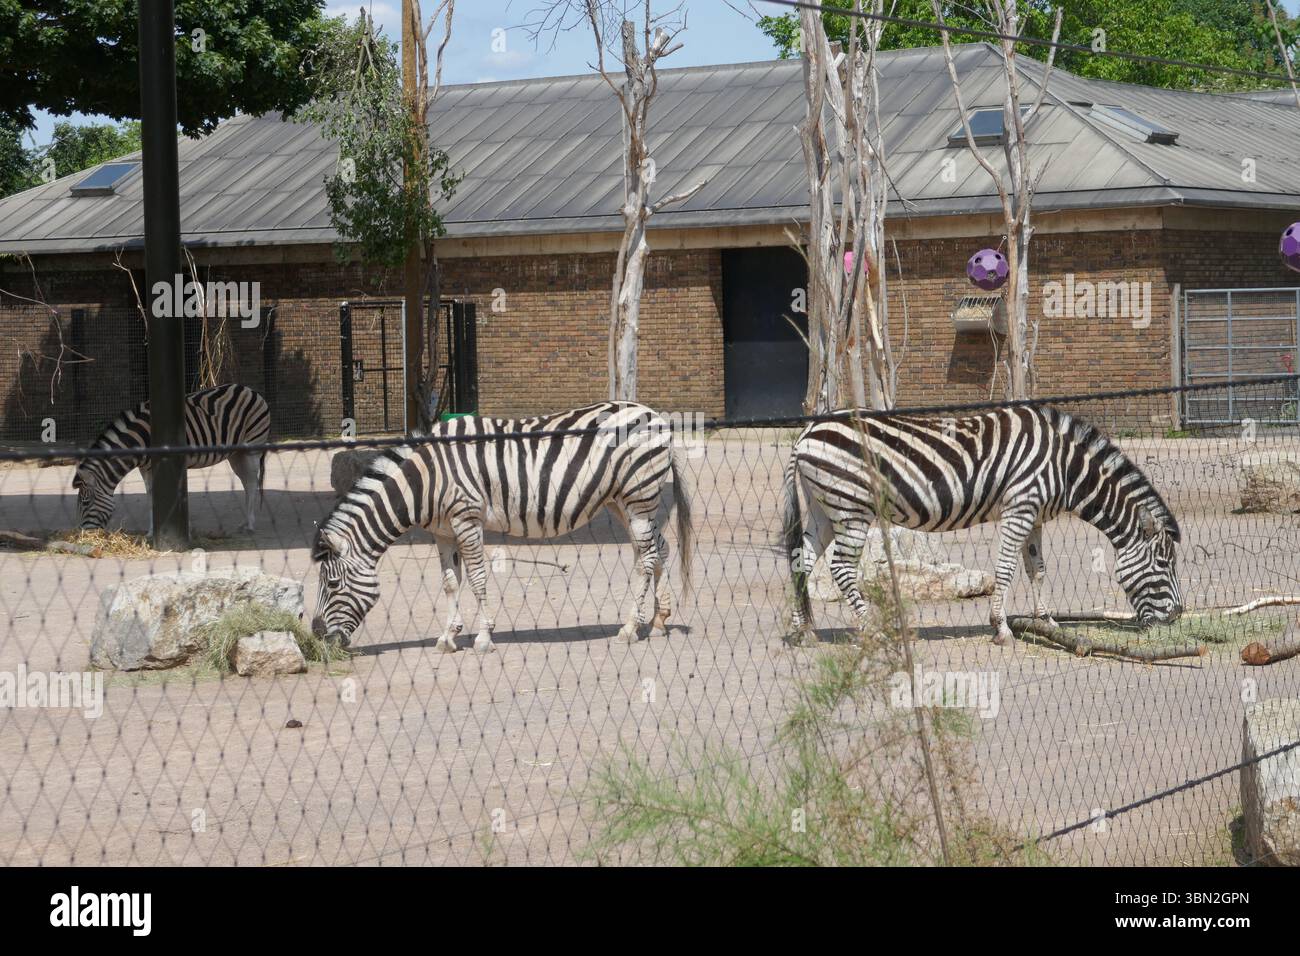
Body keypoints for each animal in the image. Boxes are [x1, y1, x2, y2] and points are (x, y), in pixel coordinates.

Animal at [72, 383, 271, 533]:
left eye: (86, 503)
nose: (84, 535)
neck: (140, 438)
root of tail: (250, 389)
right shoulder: (145, 468)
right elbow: (151, 497)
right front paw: (152, 532)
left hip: (252, 448)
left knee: (252, 482)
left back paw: (250, 525)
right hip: (236, 454)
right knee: (246, 482)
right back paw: (245, 521)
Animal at [310, 401, 693, 653]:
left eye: (331, 584)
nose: (315, 635)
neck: (425, 480)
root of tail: (653, 414)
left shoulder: (467, 519)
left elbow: (478, 578)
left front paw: (483, 637)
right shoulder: (442, 532)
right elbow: (450, 583)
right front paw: (448, 637)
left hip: (638, 498)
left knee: (646, 559)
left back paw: (629, 628)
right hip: (623, 503)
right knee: (657, 549)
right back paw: (658, 621)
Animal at [783, 405, 1182, 645]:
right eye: (1164, 563)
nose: (1177, 616)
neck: (1065, 468)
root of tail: (807, 432)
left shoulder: (1034, 515)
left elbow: (1037, 569)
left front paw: (1047, 621)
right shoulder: (1020, 507)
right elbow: (1005, 570)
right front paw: (1002, 628)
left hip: (824, 508)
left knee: (801, 561)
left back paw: (803, 630)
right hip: (851, 507)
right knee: (840, 567)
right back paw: (874, 630)